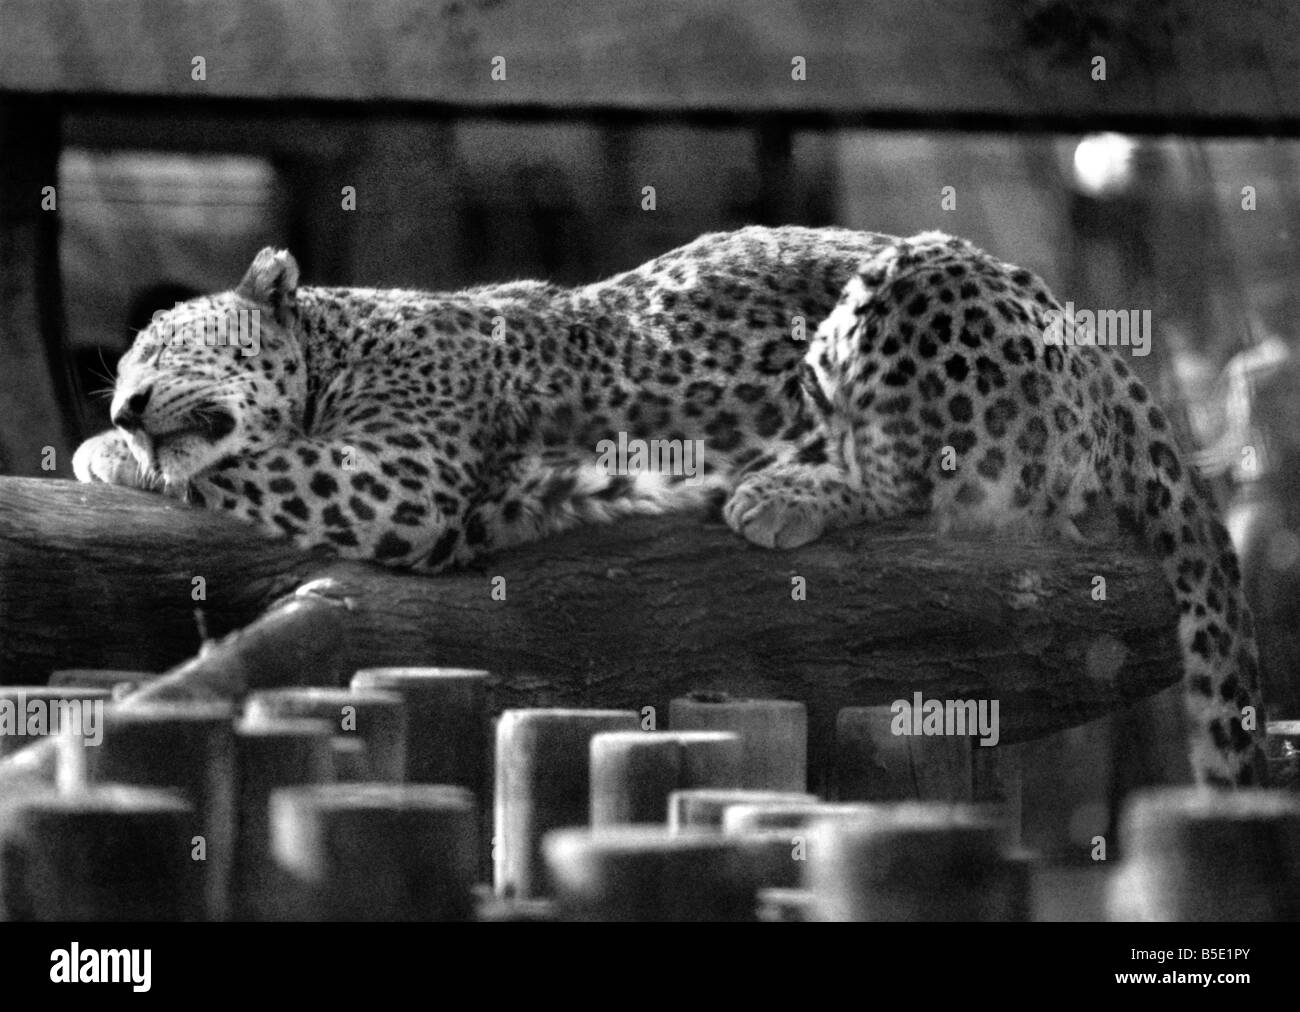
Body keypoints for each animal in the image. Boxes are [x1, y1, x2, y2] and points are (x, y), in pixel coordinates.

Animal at [73, 226, 1265, 787]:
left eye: (162, 347)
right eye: (122, 364)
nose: (125, 401)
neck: (340, 340)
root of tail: (1101, 350)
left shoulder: (402, 477)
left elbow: (237, 465)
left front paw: (123, 460)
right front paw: (102, 446)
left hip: (904, 280)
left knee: (905, 469)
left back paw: (772, 490)